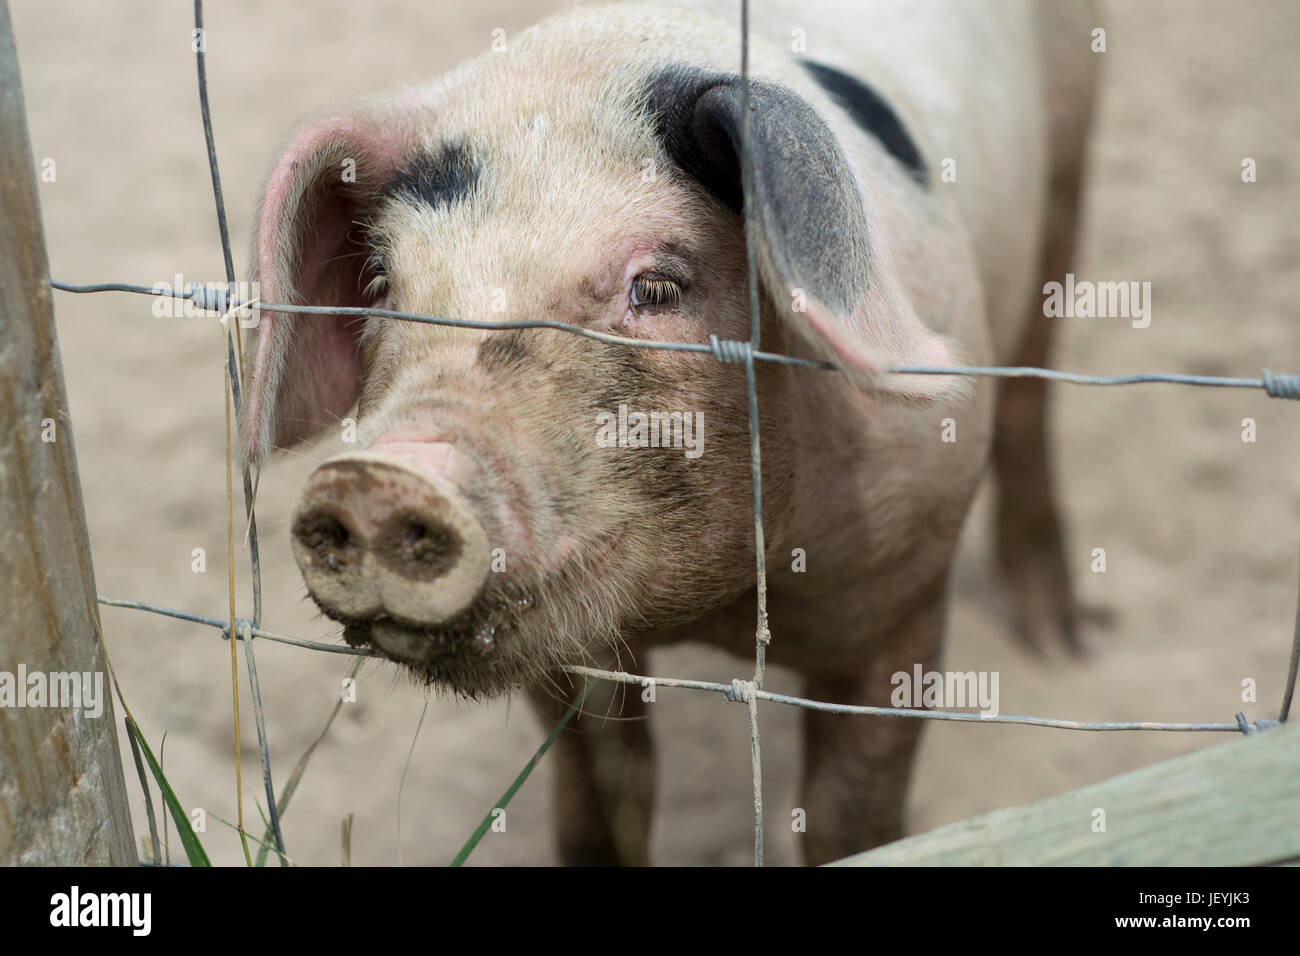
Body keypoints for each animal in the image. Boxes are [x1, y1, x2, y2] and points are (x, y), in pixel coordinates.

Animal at [240, 0, 1097, 865]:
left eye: (655, 287)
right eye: (383, 284)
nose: (379, 476)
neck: (715, 613)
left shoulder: (907, 586)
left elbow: (848, 817)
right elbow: (603, 798)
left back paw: (1065, 640)